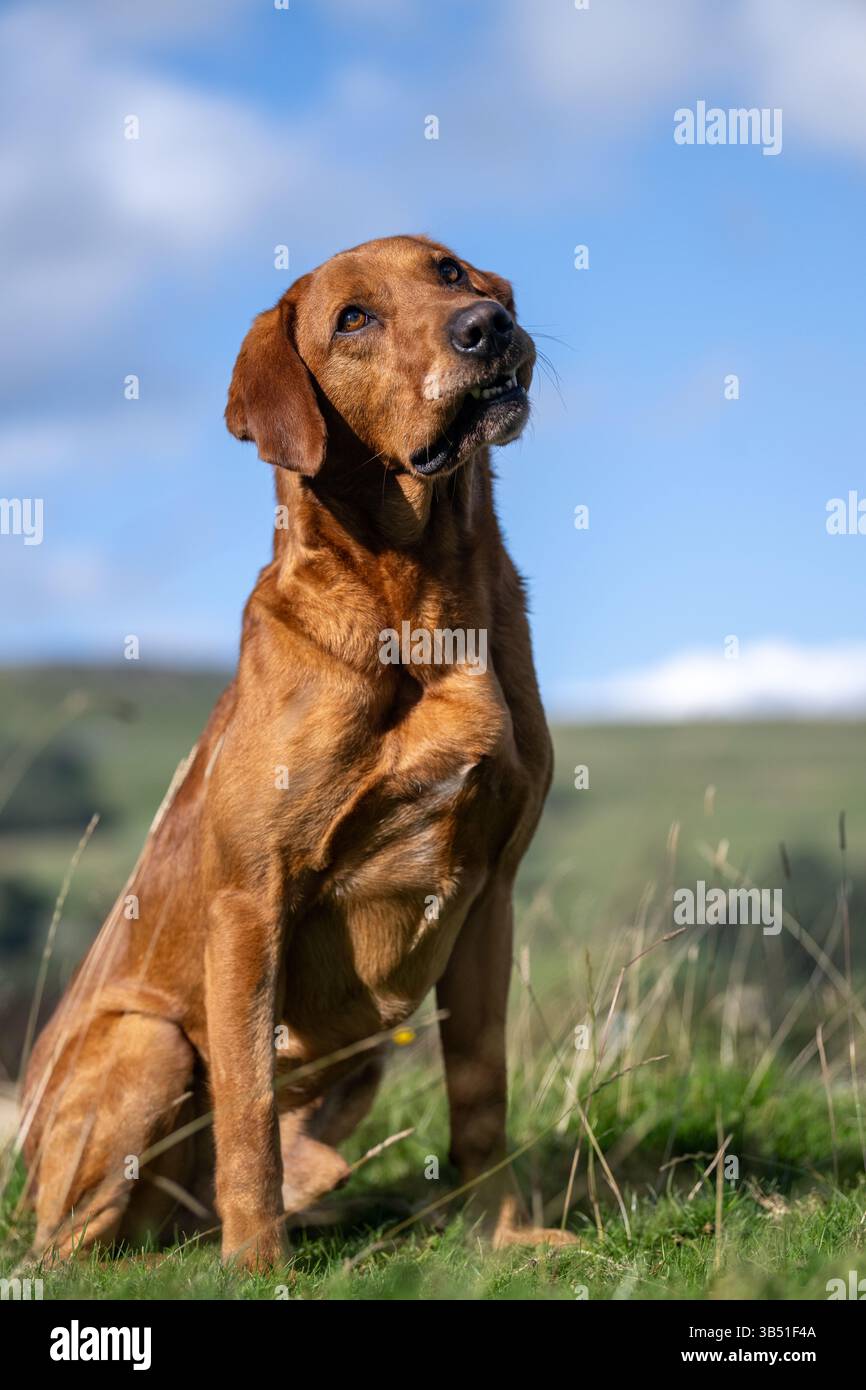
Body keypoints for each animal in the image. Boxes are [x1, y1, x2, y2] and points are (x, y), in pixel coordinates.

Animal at [21, 235, 575, 1267]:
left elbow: (481, 1095)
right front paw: (260, 1267)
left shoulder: (489, 896)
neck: (422, 607)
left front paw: (500, 1234)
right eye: (352, 319)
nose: (487, 326)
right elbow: (248, 1119)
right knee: (74, 1241)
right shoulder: (251, 903)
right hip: (149, 1043)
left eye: (449, 272)